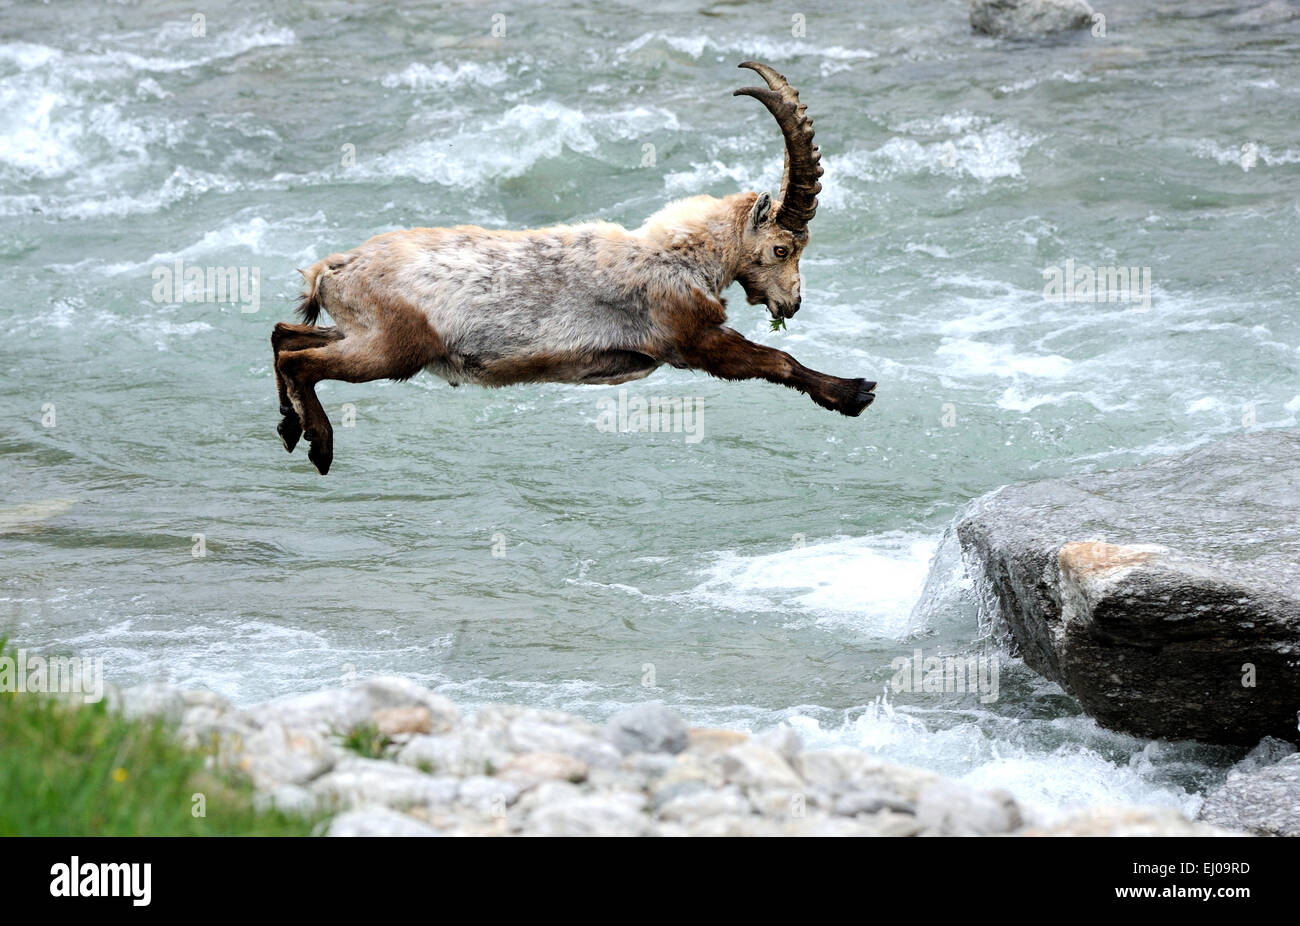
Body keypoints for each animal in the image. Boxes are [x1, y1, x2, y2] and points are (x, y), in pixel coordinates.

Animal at [273, 61, 877, 475]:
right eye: (782, 249)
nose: (792, 303)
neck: (678, 253)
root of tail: (335, 268)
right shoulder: (690, 338)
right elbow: (775, 360)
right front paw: (852, 393)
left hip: (362, 332)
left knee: (285, 337)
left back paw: (289, 426)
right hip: (397, 347)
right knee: (302, 360)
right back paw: (320, 446)